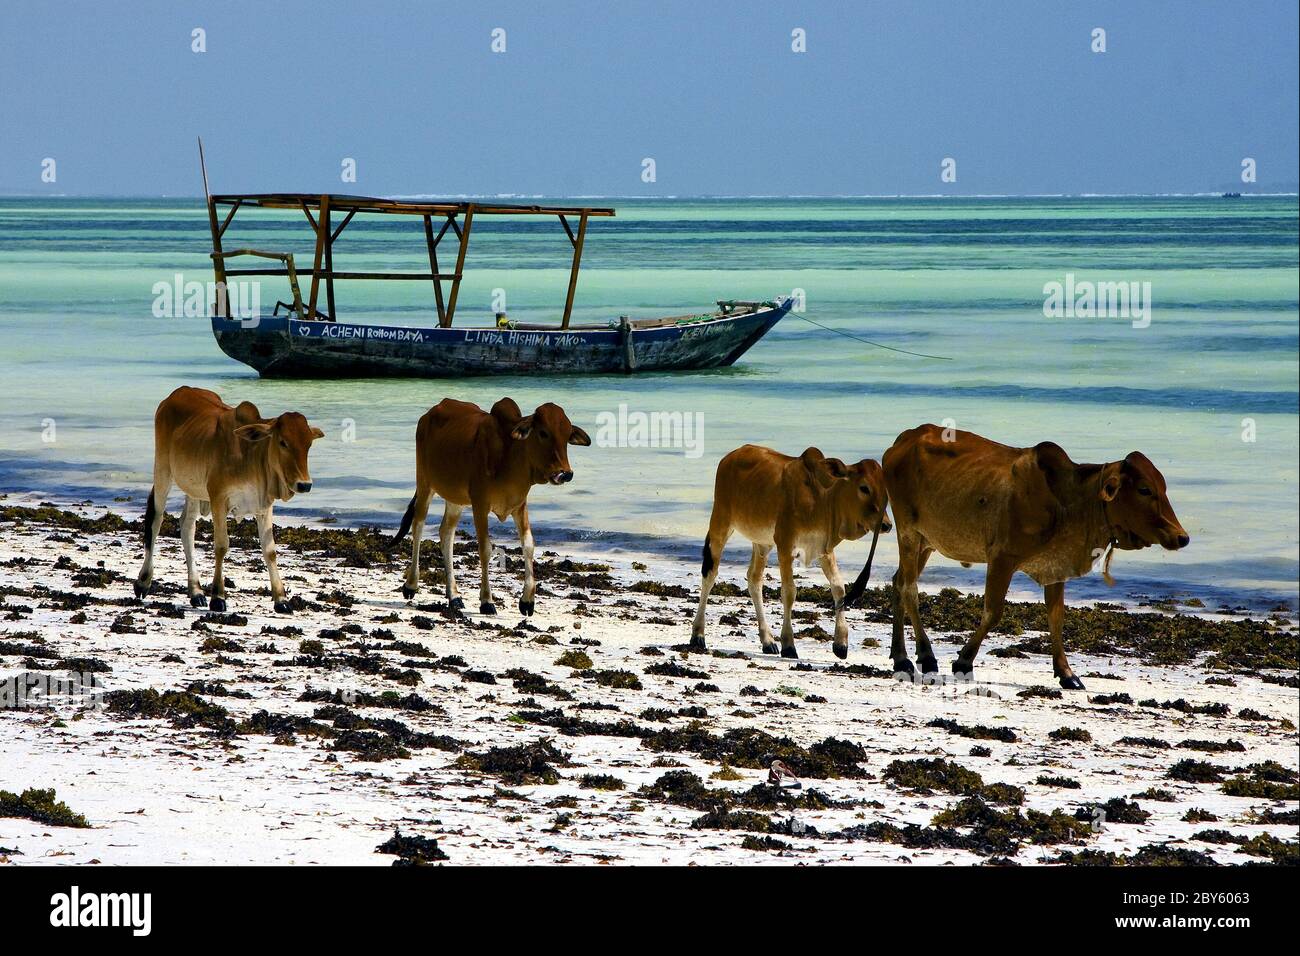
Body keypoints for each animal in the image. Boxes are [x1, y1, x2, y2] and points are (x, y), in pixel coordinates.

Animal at [133, 386, 324, 613]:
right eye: (283, 442)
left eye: (309, 444)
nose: (305, 484)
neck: (250, 454)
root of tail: (176, 394)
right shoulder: (218, 498)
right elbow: (221, 546)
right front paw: (218, 597)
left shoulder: (264, 505)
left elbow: (269, 551)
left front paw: (281, 599)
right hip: (163, 471)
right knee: (156, 520)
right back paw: (144, 582)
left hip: (194, 489)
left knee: (187, 526)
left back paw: (196, 592)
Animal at [388, 397, 590, 615]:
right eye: (543, 432)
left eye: (567, 436)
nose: (565, 473)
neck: (510, 454)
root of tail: (430, 413)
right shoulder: (480, 504)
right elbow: (485, 548)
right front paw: (487, 601)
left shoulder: (520, 505)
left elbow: (528, 545)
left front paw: (527, 600)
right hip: (425, 483)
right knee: (418, 526)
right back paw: (411, 585)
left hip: (455, 499)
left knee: (446, 534)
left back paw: (454, 596)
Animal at [690, 445, 892, 660]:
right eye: (864, 487)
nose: (886, 525)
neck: (821, 499)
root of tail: (731, 456)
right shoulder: (785, 546)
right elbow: (789, 591)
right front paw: (788, 644)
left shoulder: (824, 549)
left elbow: (838, 588)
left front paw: (841, 643)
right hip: (720, 523)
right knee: (710, 574)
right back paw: (698, 635)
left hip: (762, 543)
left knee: (754, 579)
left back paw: (768, 641)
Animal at [844, 425, 1189, 689]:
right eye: (1144, 489)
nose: (1182, 537)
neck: (1068, 501)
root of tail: (903, 440)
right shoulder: (1002, 558)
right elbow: (993, 612)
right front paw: (964, 661)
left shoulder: (1055, 568)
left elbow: (1056, 618)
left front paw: (1067, 673)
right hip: (908, 531)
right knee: (909, 588)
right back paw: (926, 656)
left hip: (927, 541)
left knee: (897, 582)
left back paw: (902, 658)